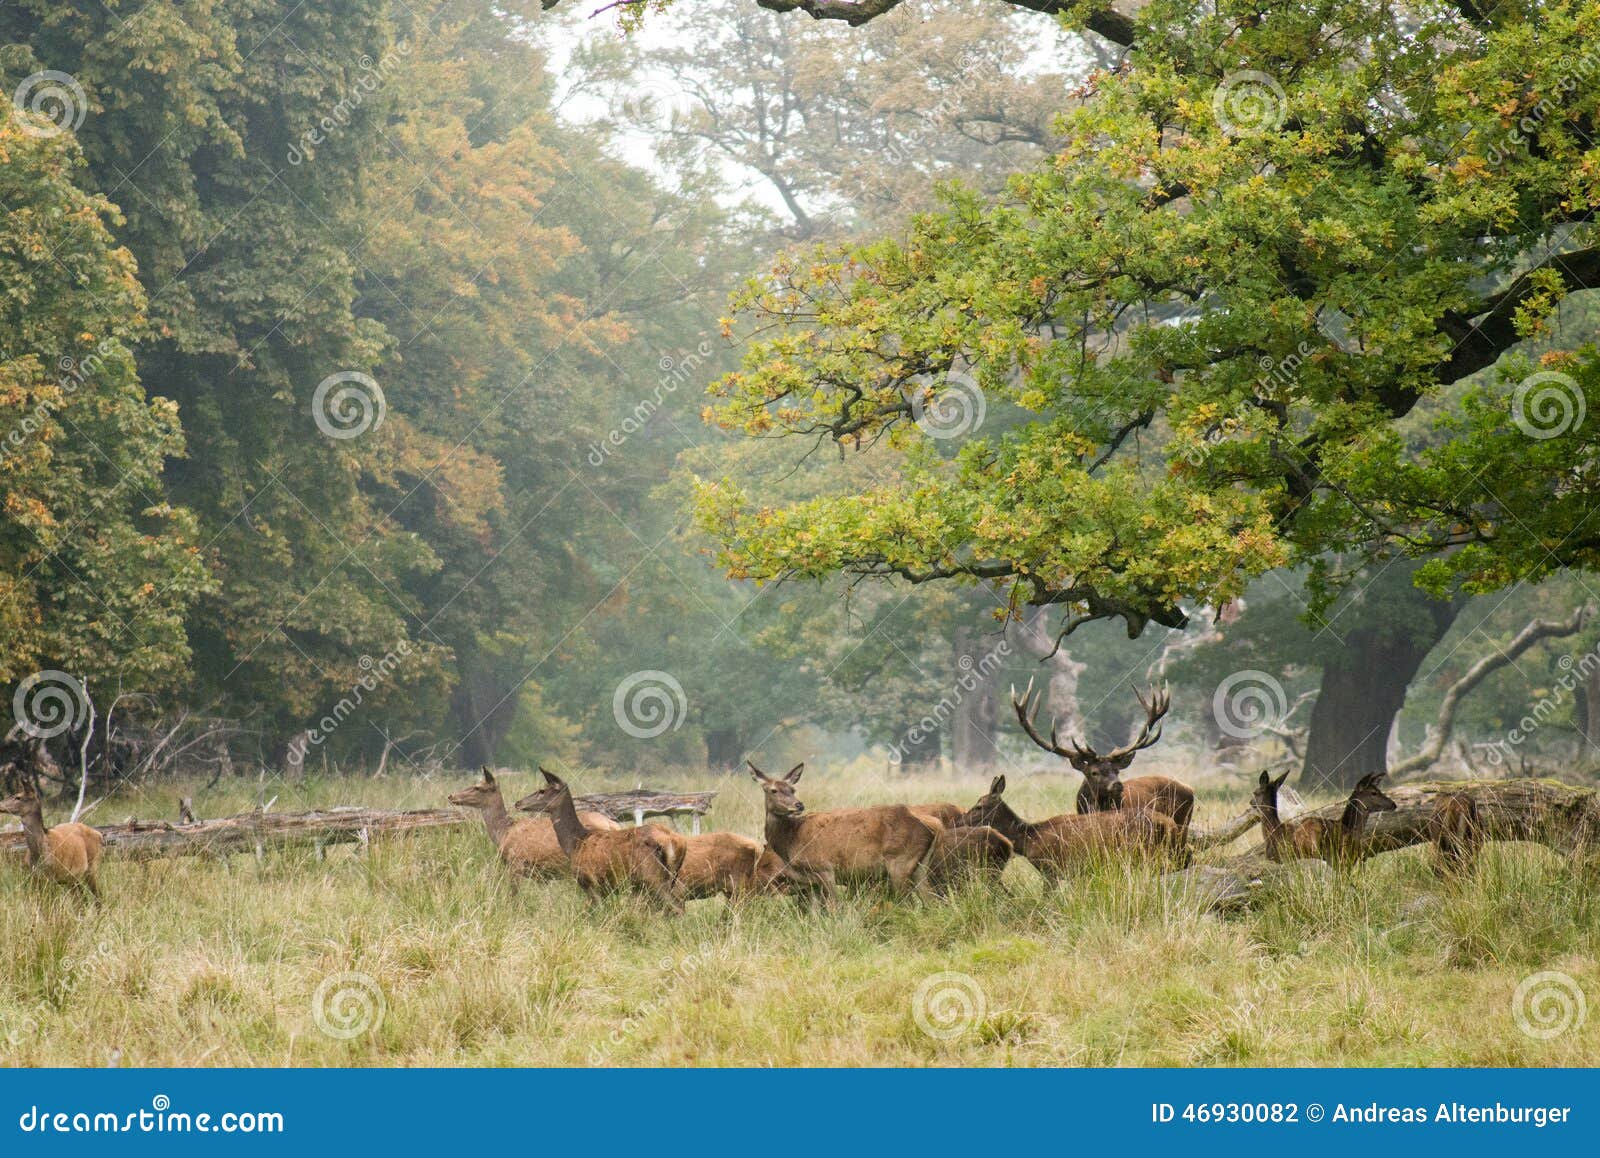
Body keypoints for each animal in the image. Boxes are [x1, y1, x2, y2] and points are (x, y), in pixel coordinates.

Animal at [515, 768, 686, 914]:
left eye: (542, 790)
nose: (518, 803)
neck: (575, 843)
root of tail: (673, 842)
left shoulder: (590, 882)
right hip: (671, 877)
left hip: (652, 877)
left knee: (676, 907)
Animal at [747, 761, 938, 902]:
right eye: (773, 790)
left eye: (793, 789)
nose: (798, 805)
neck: (791, 840)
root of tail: (929, 830)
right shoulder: (811, 883)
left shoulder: (824, 868)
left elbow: (836, 907)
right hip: (920, 867)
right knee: (930, 902)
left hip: (900, 862)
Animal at [957, 774, 1187, 881]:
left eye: (978, 806)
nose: (959, 821)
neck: (1030, 838)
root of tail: (1169, 824)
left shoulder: (1052, 868)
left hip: (1142, 851)